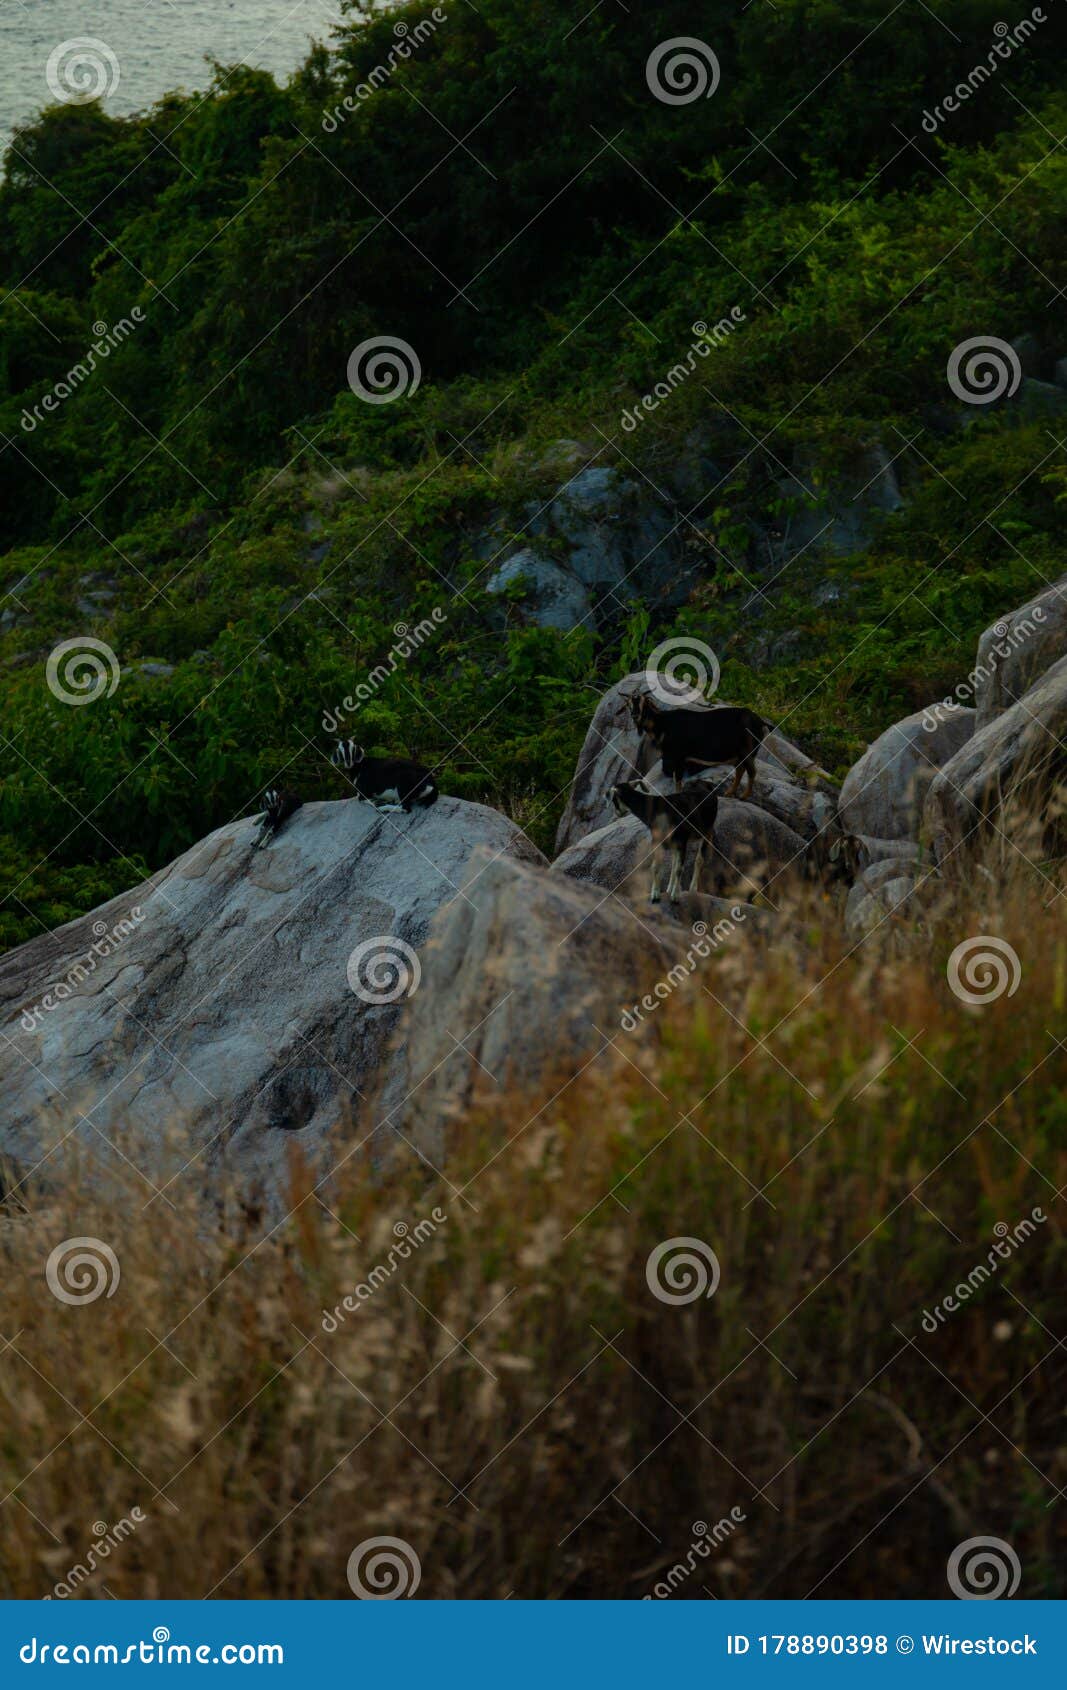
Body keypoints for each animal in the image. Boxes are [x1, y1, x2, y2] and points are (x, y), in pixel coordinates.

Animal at [629, 693, 770, 797]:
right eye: (629, 704)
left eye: (644, 703)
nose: (635, 715)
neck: (663, 724)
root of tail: (761, 722)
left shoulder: (678, 757)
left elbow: (677, 780)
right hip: (739, 755)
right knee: (740, 770)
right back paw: (729, 793)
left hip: (747, 752)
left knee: (752, 771)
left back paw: (743, 796)